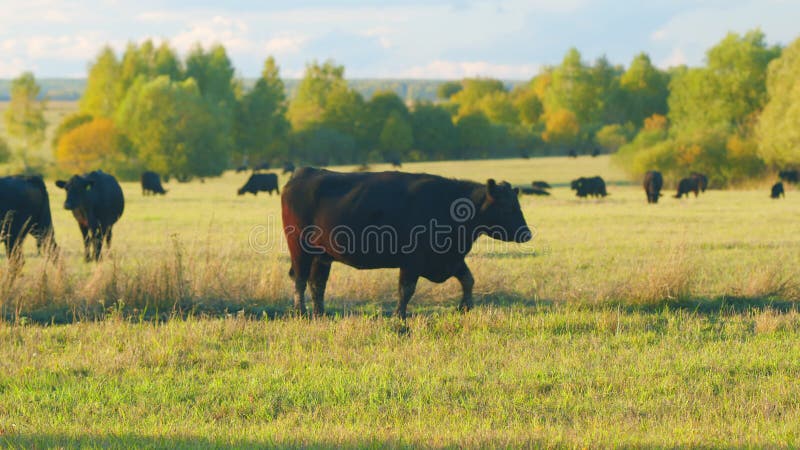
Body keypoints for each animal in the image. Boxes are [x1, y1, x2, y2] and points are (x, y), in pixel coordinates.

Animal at [281, 168, 532, 319]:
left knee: (317, 283)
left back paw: (320, 314)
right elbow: (406, 289)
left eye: (517, 204)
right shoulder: (412, 262)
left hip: (322, 256)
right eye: (507, 207)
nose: (527, 234)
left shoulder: (451, 259)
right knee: (300, 279)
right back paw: (301, 312)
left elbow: (468, 279)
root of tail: (304, 173)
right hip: (300, 249)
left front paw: (465, 307)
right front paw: (399, 316)